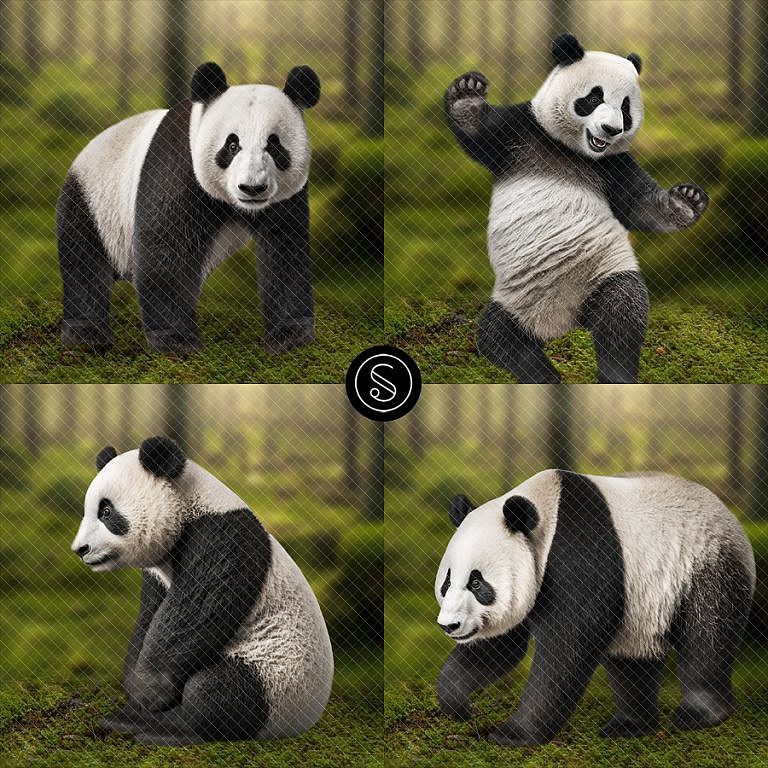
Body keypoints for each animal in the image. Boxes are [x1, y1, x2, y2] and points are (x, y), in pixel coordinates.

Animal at [57, 62, 320, 355]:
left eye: (274, 146)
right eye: (232, 145)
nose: (252, 188)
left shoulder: (287, 195)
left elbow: (285, 246)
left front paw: (290, 333)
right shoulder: (179, 167)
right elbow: (166, 248)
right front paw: (177, 339)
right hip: (93, 199)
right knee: (84, 263)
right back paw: (86, 333)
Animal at [70, 436, 334, 745]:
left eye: (106, 511)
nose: (80, 550)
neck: (190, 504)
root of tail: (308, 719)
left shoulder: (222, 536)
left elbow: (198, 609)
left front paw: (147, 690)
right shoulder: (159, 572)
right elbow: (152, 616)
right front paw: (135, 696)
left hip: (279, 676)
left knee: (216, 690)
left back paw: (170, 728)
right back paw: (130, 720)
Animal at [435, 469, 755, 746]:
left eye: (477, 583)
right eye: (447, 582)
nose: (450, 626)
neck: (545, 513)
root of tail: (730, 515)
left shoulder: (577, 552)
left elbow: (568, 645)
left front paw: (515, 734)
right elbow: (502, 645)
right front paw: (457, 704)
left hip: (704, 563)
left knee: (707, 632)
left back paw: (702, 714)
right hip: (641, 603)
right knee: (631, 659)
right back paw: (630, 725)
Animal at [444, 35, 708, 383]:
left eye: (625, 108)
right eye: (594, 98)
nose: (611, 129)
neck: (573, 150)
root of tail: (561, 325)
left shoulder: (613, 166)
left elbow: (638, 204)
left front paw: (686, 201)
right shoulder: (522, 132)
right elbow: (479, 132)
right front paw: (467, 93)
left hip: (602, 272)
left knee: (621, 311)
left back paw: (615, 374)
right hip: (517, 303)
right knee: (498, 336)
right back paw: (543, 374)